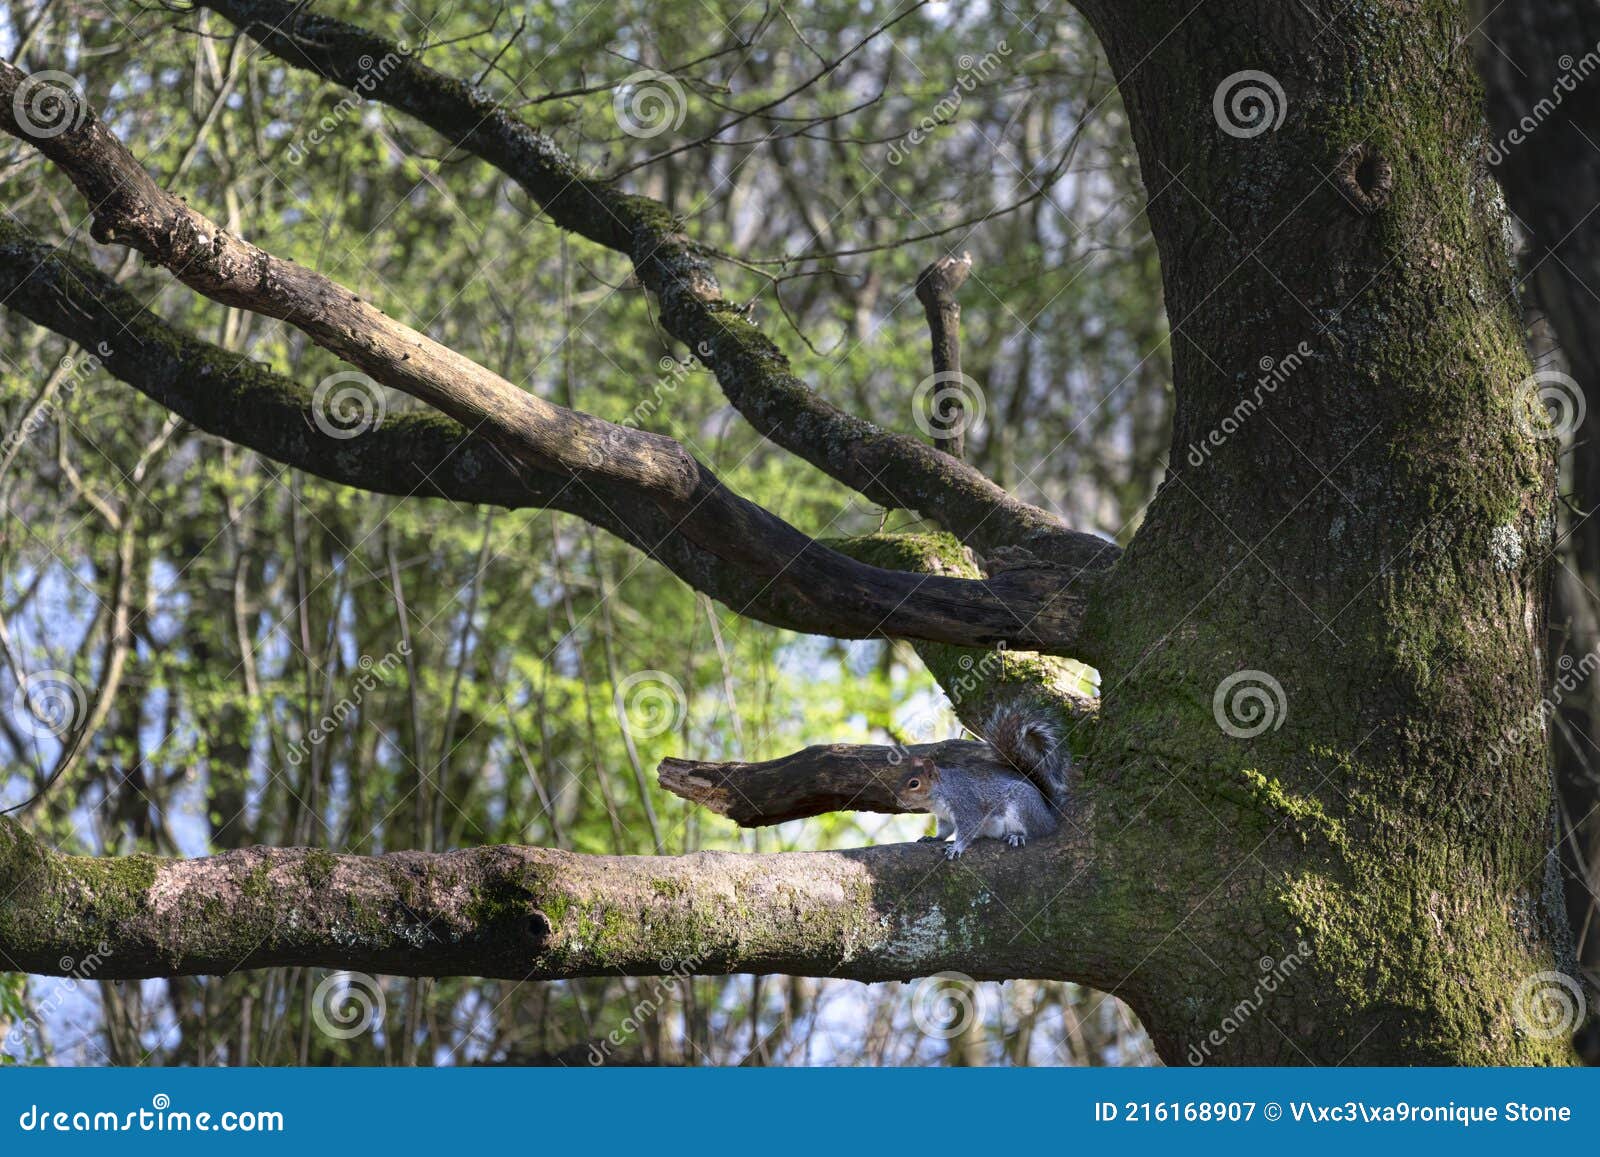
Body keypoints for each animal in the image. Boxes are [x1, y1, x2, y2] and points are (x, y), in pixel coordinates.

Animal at [893, 704, 1071, 859]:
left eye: (914, 783)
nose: (896, 799)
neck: (941, 793)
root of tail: (1048, 815)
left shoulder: (966, 804)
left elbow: (968, 828)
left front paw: (956, 848)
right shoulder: (945, 817)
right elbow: (945, 831)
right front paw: (934, 838)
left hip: (1023, 807)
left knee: (1035, 831)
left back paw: (1018, 836)